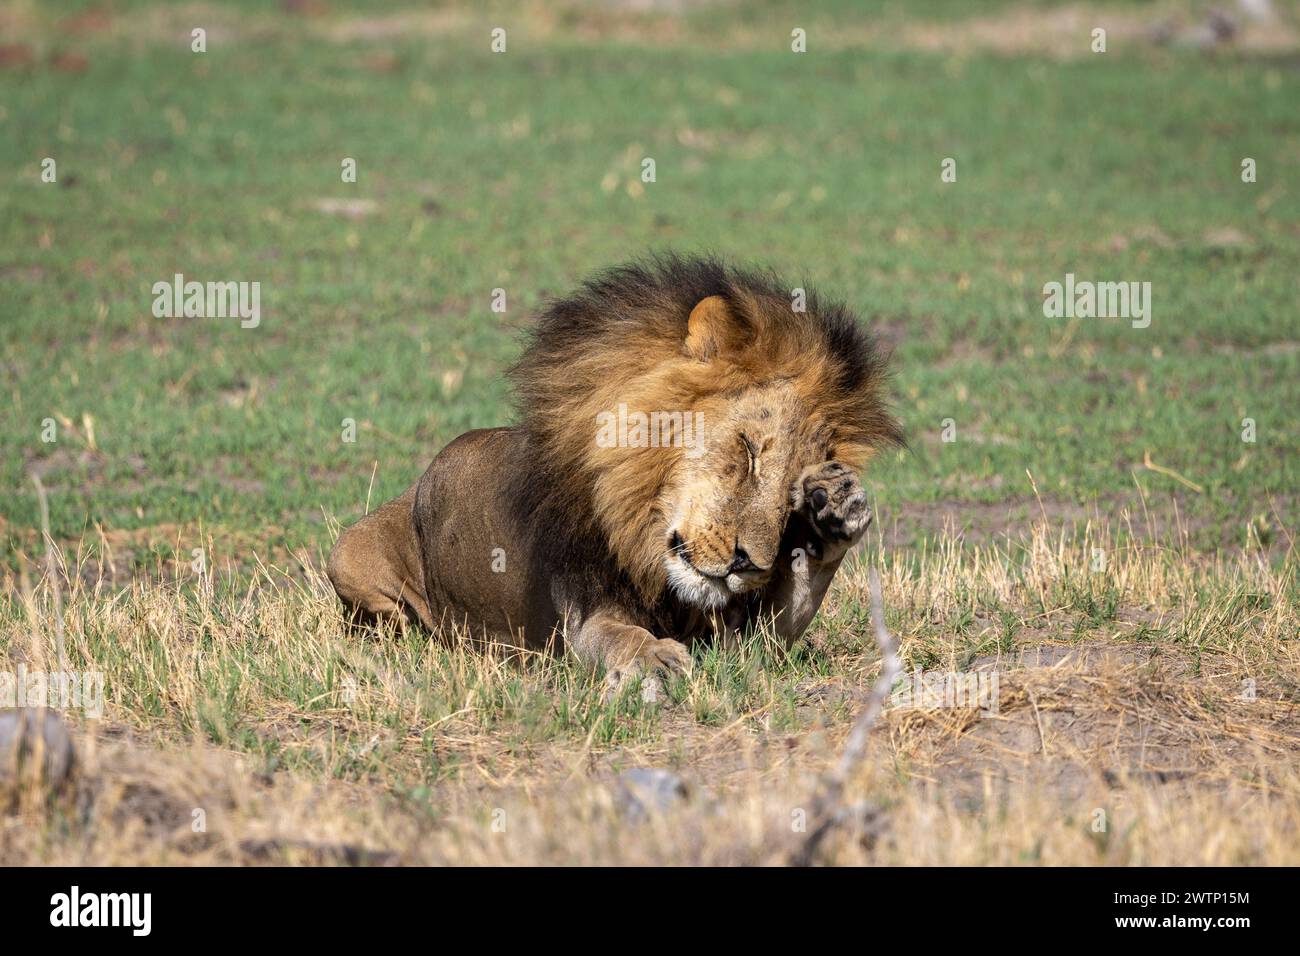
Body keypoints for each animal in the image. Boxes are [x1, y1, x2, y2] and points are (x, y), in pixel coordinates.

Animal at [327, 255, 902, 698]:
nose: (750, 564)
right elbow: (616, 637)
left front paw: (837, 510)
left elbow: (788, 614)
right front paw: (654, 660)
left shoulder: (740, 634)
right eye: (748, 450)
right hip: (349, 552)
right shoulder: (582, 617)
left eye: (790, 493)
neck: (641, 529)